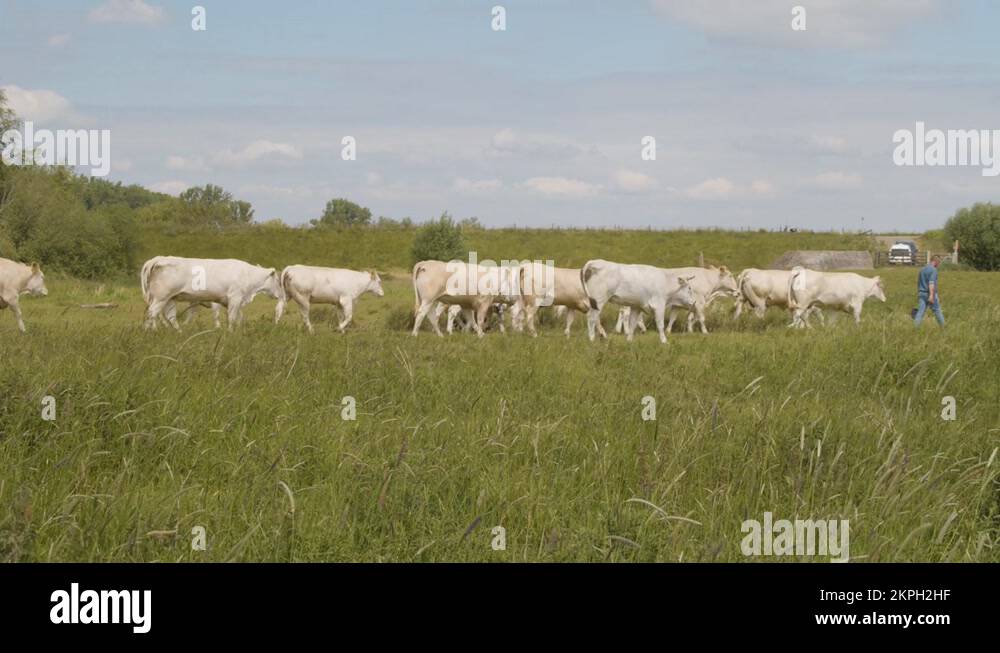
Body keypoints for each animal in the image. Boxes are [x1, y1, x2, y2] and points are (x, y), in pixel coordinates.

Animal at [141, 256, 283, 330]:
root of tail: (159, 259)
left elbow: (238, 317)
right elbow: (231, 317)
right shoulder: (235, 298)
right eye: (277, 280)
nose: (280, 295)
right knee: (152, 313)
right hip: (161, 298)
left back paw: (179, 332)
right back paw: (150, 331)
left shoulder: (229, 301)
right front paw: (230, 332)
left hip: (169, 299)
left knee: (170, 316)